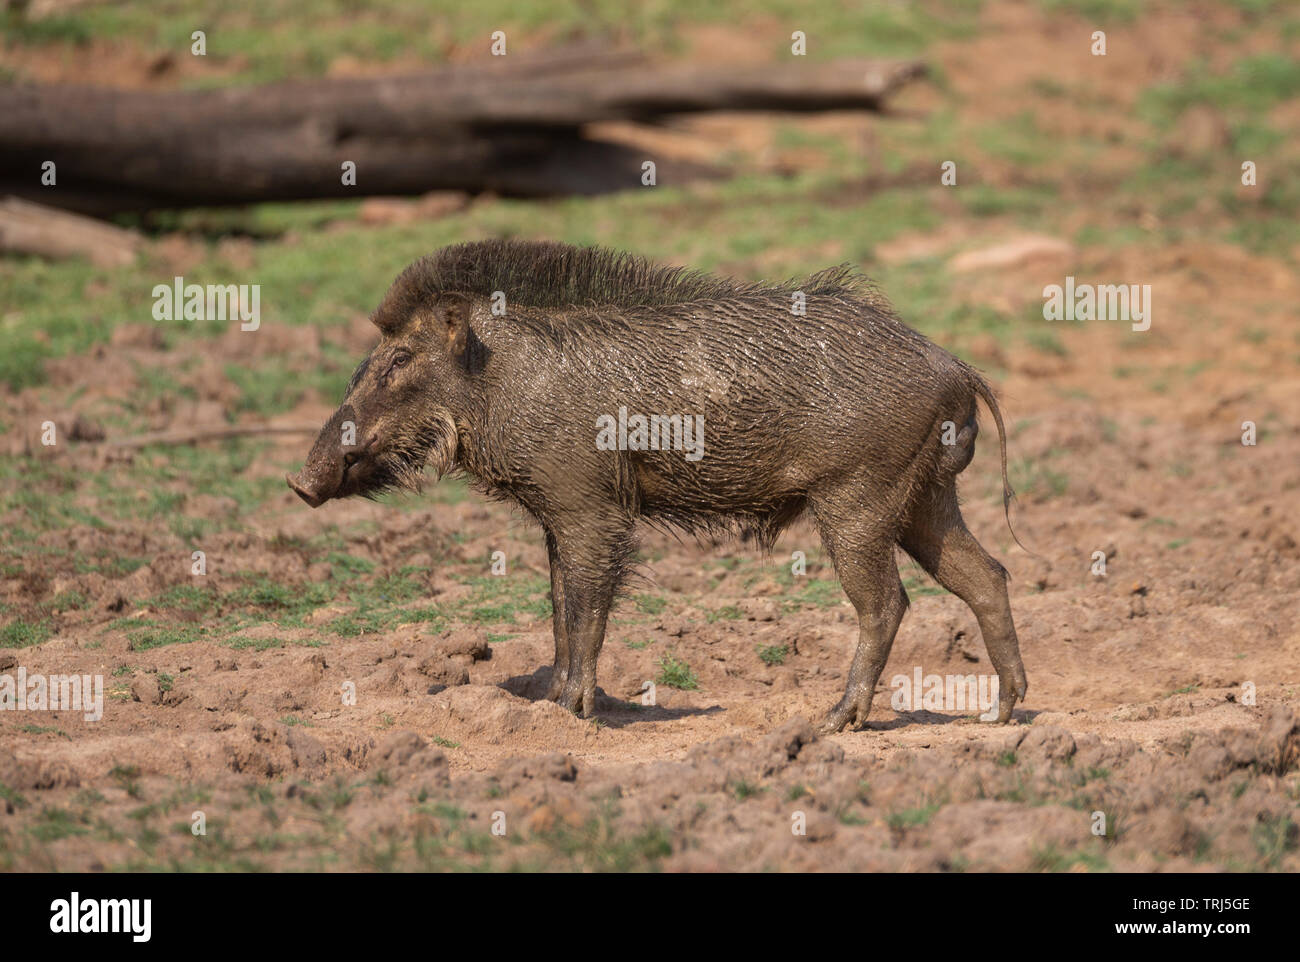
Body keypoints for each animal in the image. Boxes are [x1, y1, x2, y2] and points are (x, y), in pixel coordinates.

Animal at [287, 240, 1027, 733]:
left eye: (400, 358)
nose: (298, 480)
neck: (498, 379)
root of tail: (952, 364)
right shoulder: (559, 514)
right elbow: (558, 608)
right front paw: (554, 704)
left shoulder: (590, 510)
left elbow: (586, 611)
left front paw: (576, 713)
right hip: (924, 499)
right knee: (987, 574)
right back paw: (1000, 713)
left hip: (857, 499)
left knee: (888, 603)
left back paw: (833, 721)